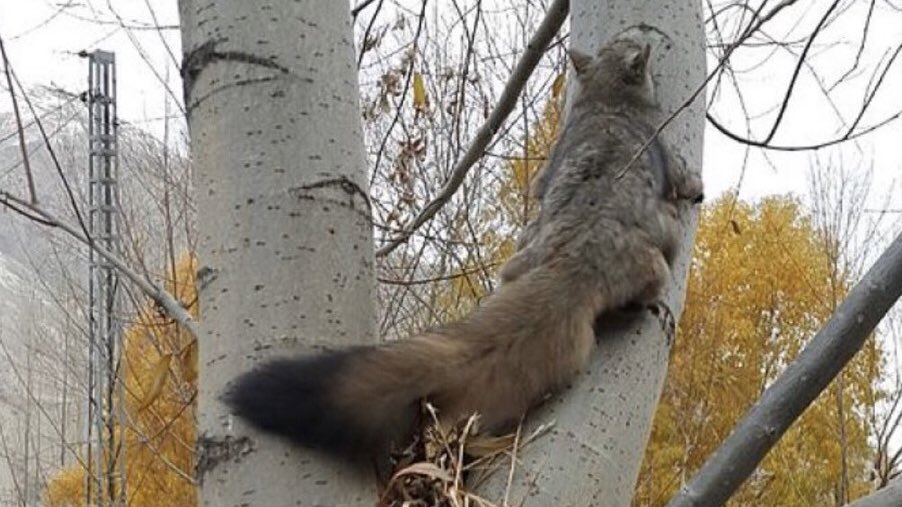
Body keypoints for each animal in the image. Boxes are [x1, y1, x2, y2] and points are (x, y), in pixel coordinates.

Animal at [225, 35, 704, 468]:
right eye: (636, 51)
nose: (643, 41)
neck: (608, 101)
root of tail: (572, 260)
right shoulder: (671, 158)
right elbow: (688, 181)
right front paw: (698, 190)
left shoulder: (544, 175)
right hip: (654, 261)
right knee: (645, 289)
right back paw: (654, 305)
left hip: (521, 250)